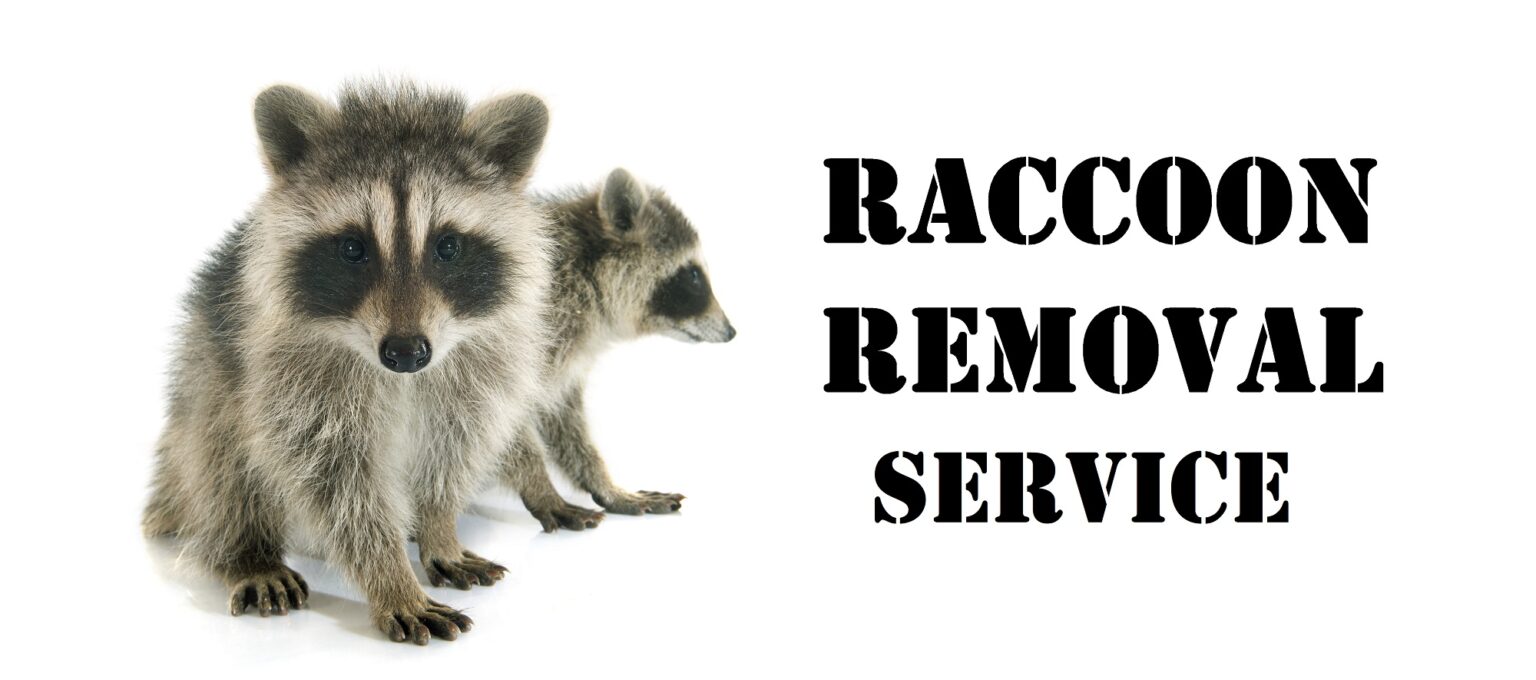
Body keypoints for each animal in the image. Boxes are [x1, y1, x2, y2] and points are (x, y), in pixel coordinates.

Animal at [142, 81, 554, 644]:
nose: (406, 352)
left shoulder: (481, 361)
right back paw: (245, 550)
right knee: (219, 453)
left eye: (448, 246)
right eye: (353, 249)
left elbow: (451, 448)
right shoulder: (291, 377)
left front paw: (438, 526)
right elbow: (340, 485)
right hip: (205, 372)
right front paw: (391, 578)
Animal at [501, 168, 734, 532]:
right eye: (694, 275)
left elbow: (564, 418)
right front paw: (539, 486)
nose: (731, 331)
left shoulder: (563, 354)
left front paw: (604, 484)